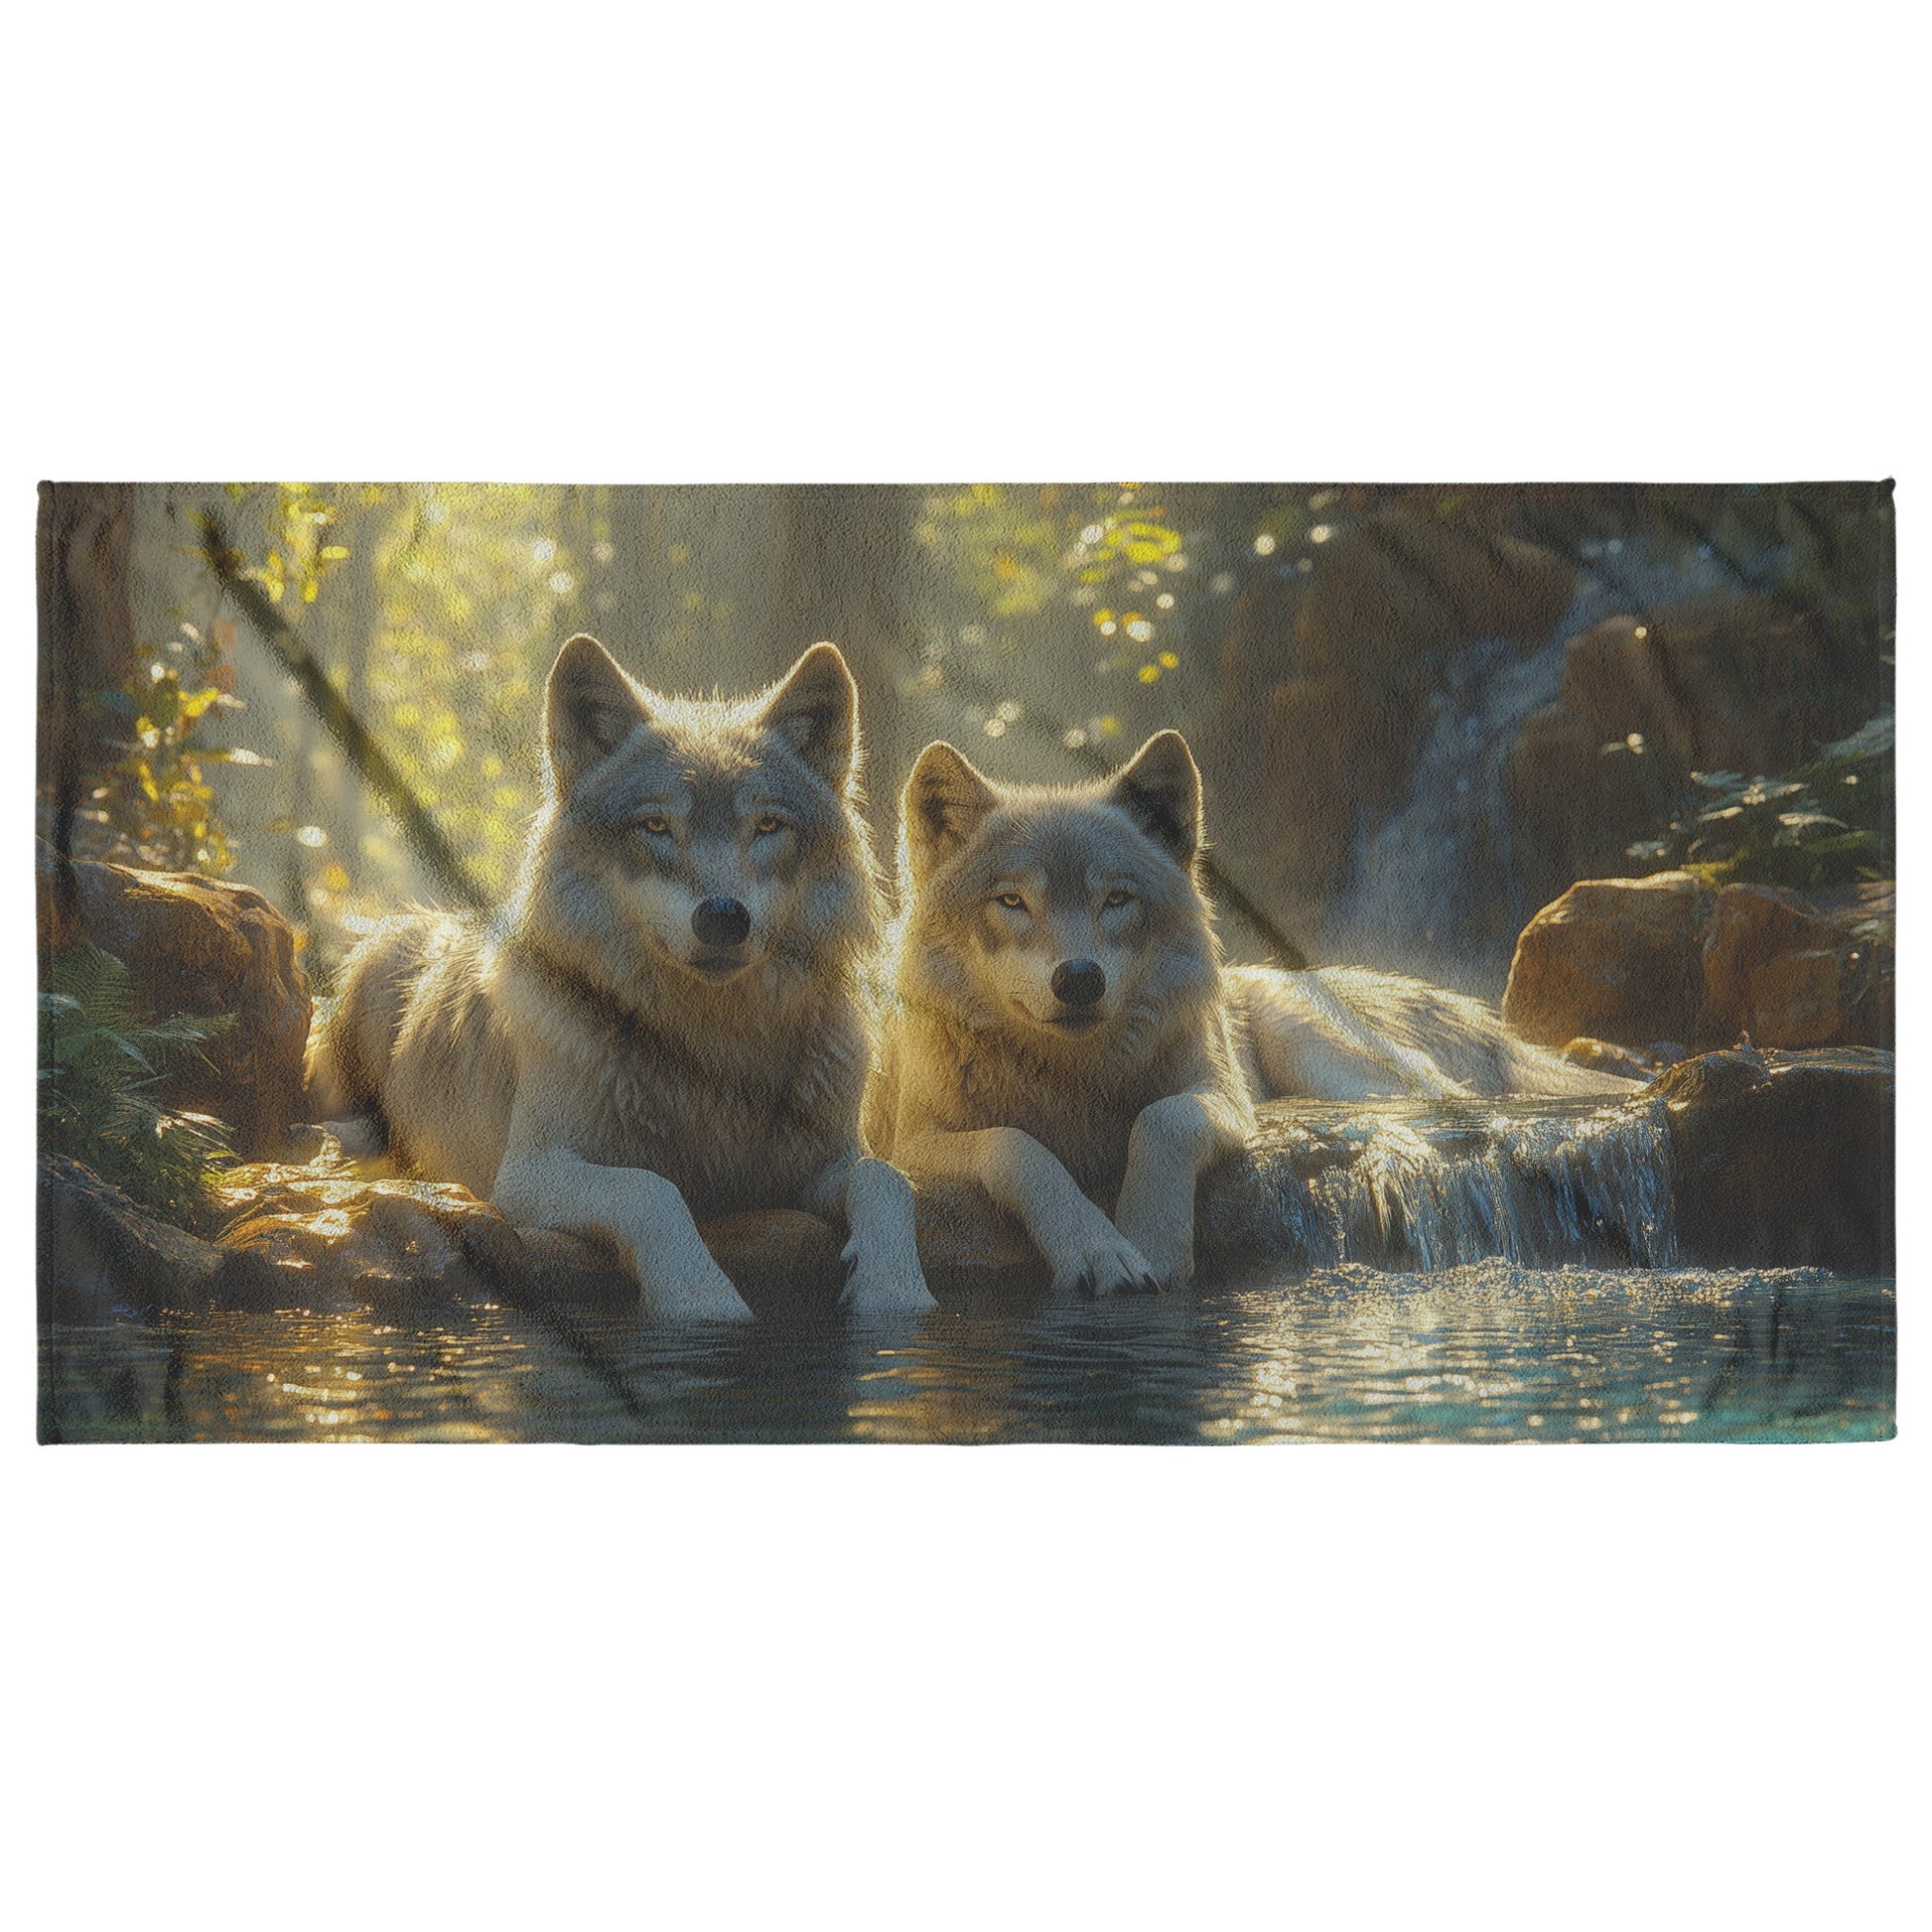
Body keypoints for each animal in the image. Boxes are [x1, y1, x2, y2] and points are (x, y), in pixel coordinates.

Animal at [307, 634, 935, 1322]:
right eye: (655, 826)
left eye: (767, 826)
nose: (724, 916)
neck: (711, 1050)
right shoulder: (524, 1174)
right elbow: (650, 1189)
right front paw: (700, 1297)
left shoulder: (826, 1164)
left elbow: (887, 1180)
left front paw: (895, 1289)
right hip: (383, 954)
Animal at [867, 730, 1630, 1295]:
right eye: (1012, 901)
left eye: (1116, 899)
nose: (1079, 980)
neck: (1070, 1078)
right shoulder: (910, 1144)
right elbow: (1018, 1147)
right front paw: (1097, 1249)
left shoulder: (1219, 1095)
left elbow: (1162, 1121)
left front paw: (1149, 1242)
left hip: (1321, 1056)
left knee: (1434, 1096)